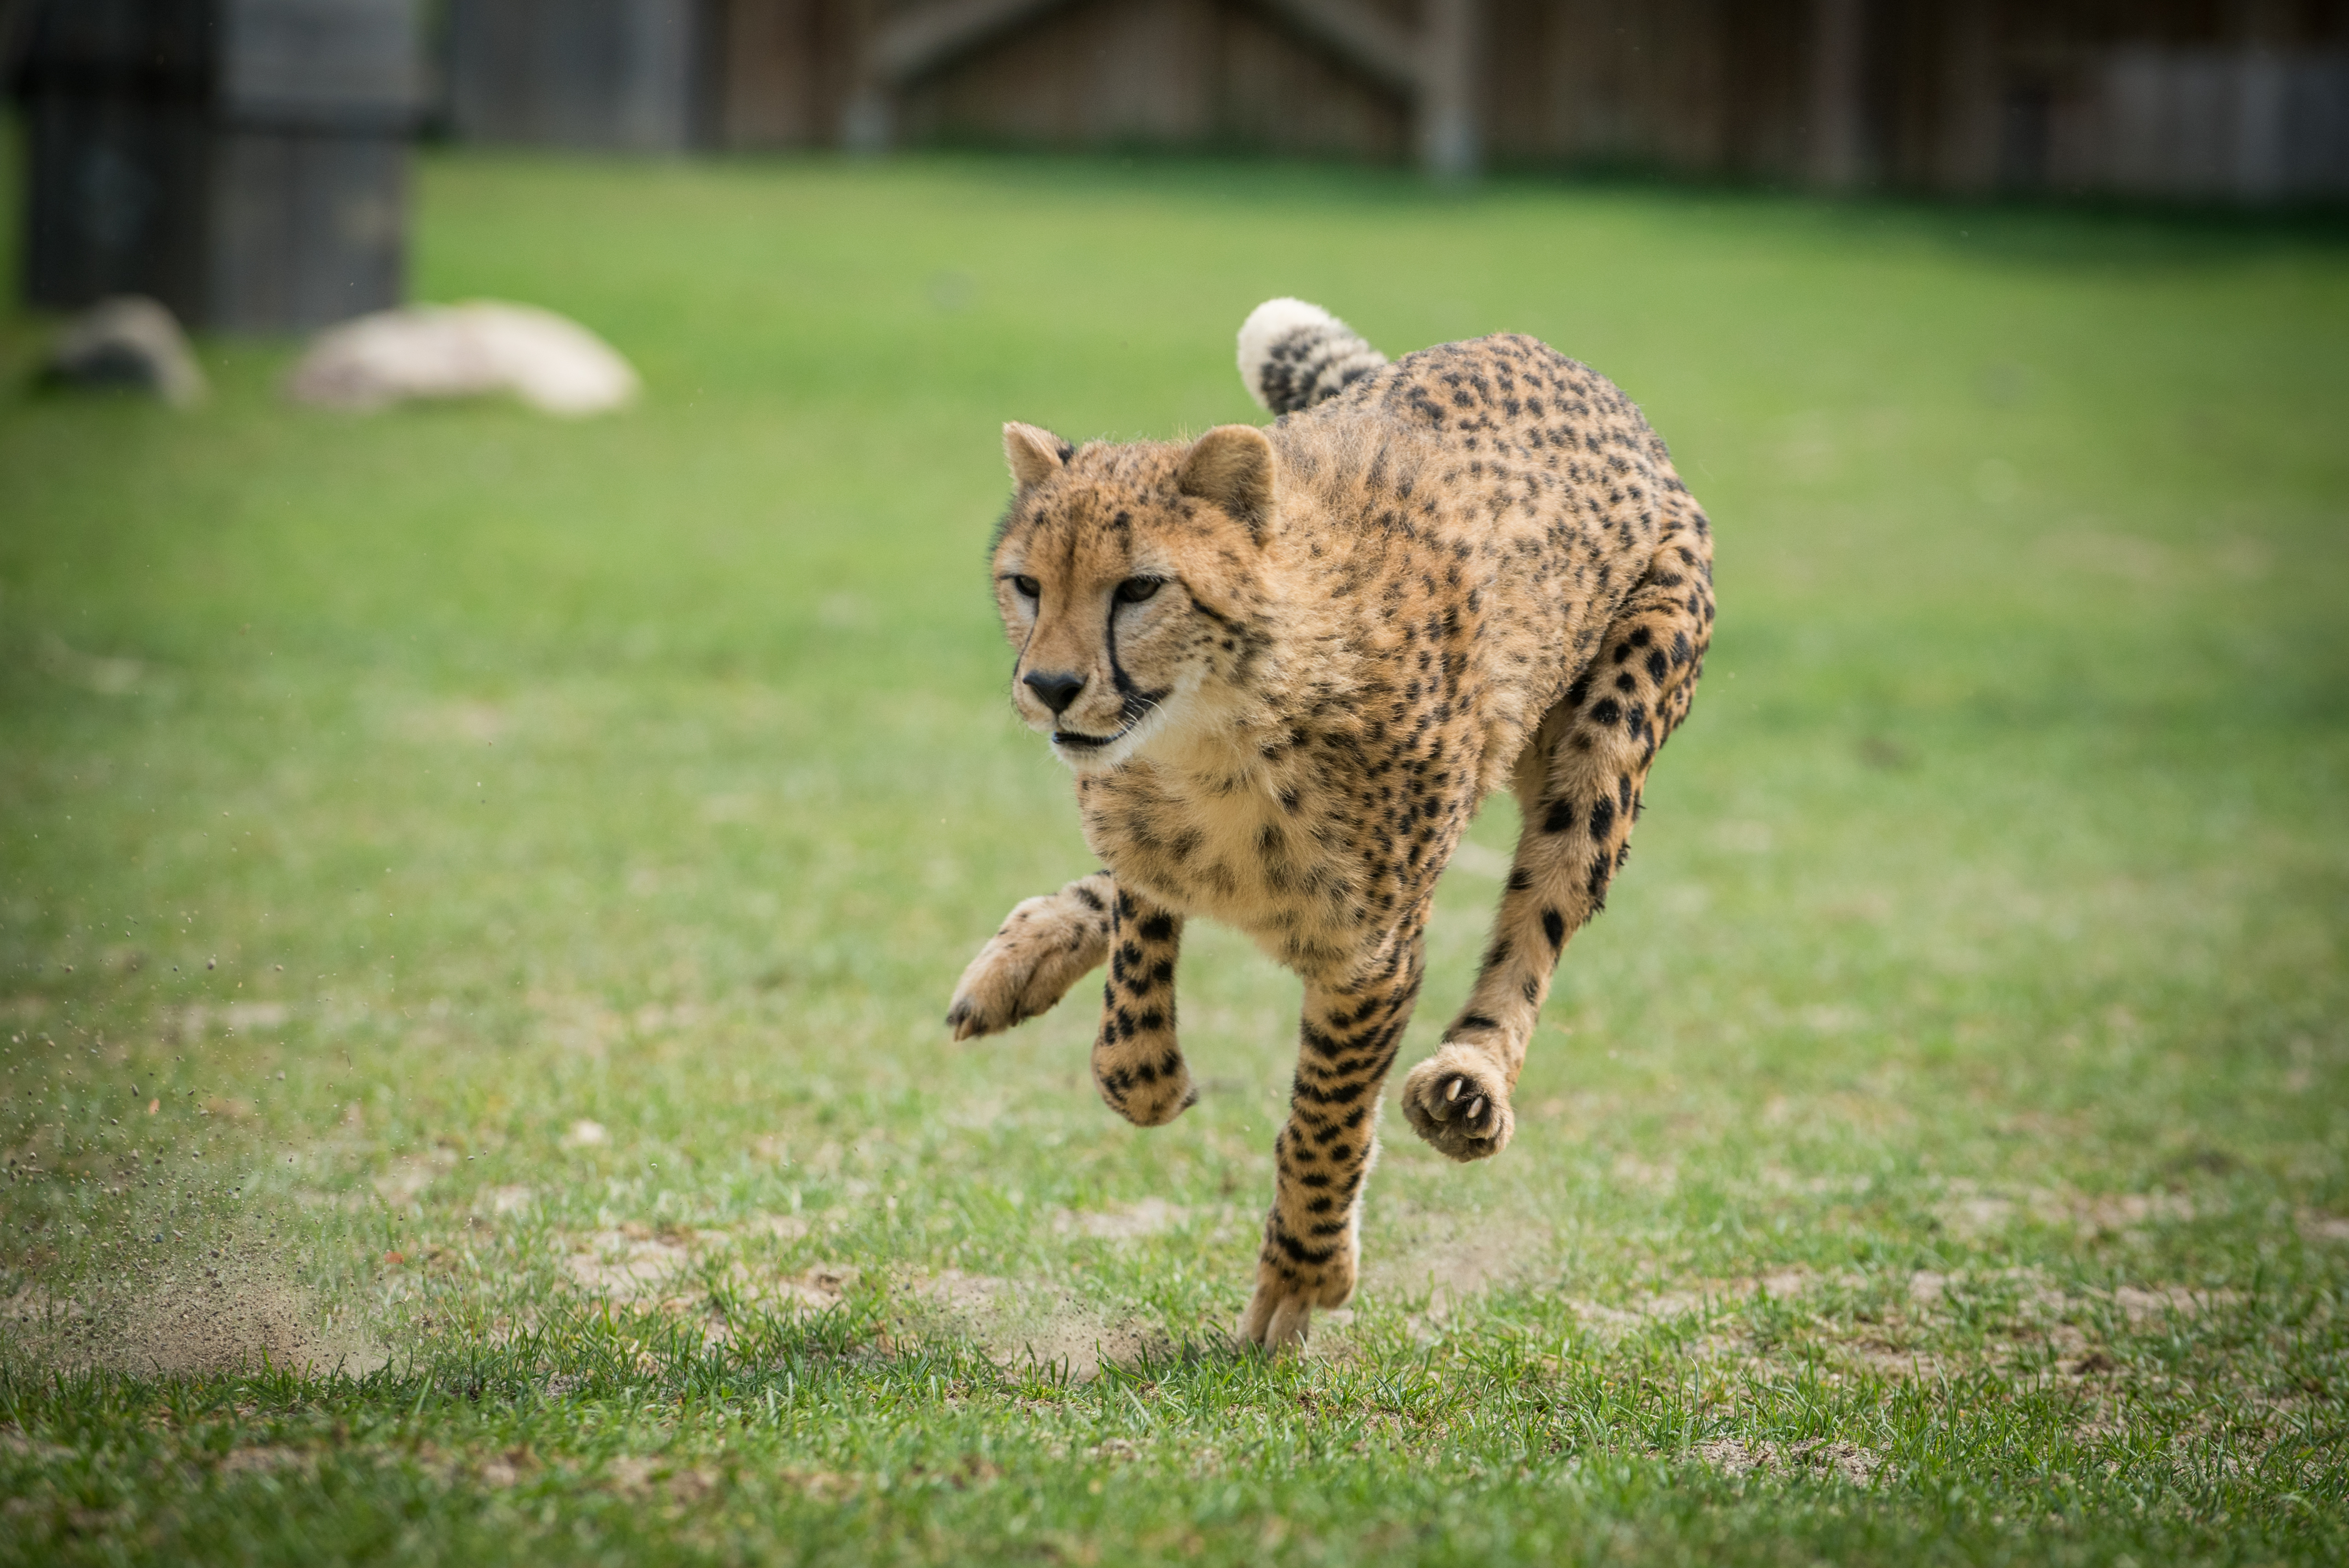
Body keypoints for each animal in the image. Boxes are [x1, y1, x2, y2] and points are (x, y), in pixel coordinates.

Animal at [946, 298, 1715, 1350]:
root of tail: (1551, 357)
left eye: (1139, 588)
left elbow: (1326, 1120)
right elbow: (1132, 993)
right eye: (1026, 584)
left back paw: (1471, 1078)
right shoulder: (1138, 827)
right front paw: (1150, 1072)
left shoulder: (1373, 956)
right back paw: (1018, 959)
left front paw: (1301, 1280)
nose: (1051, 685)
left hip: (1614, 723)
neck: (1224, 731)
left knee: (1543, 911)